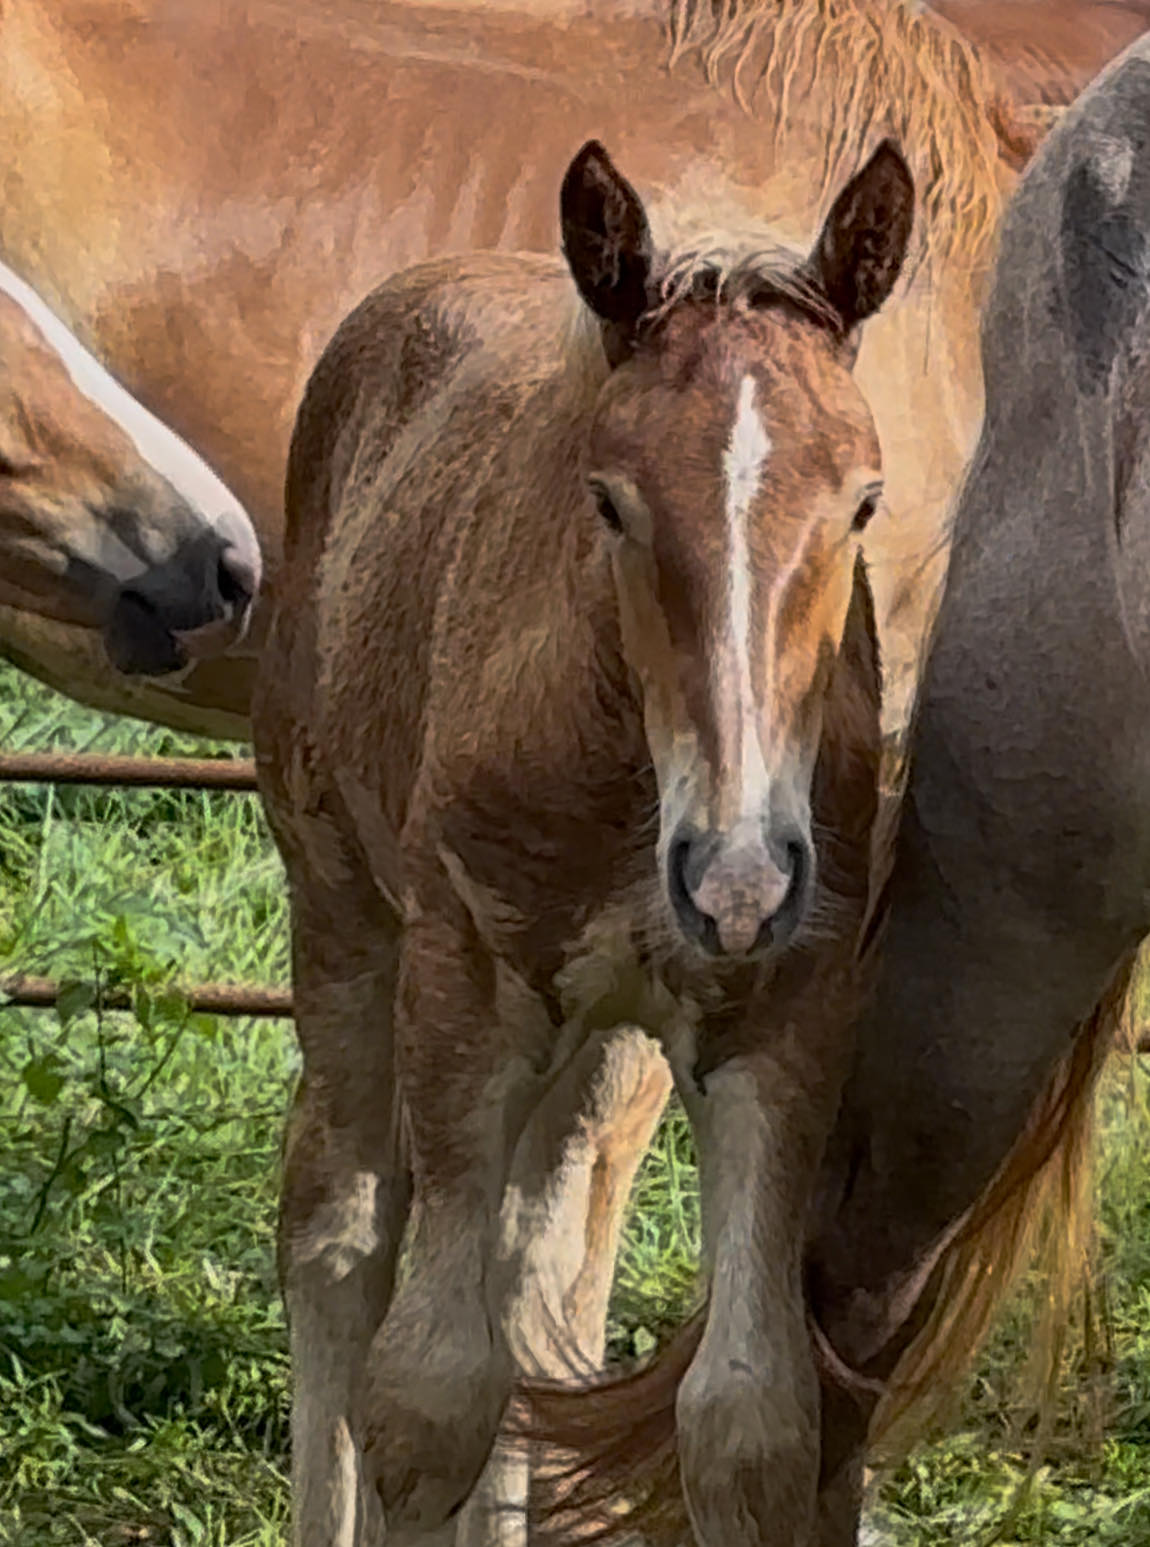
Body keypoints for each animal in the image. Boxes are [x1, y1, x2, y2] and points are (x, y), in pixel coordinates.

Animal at [251, 134, 914, 1546]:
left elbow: (749, 1419)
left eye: (862, 502)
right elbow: (426, 1391)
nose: (738, 878)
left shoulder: (784, 1012)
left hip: (602, 1039)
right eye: (609, 502)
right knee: (339, 1231)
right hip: (337, 905)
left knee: (534, 1275)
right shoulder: (465, 982)